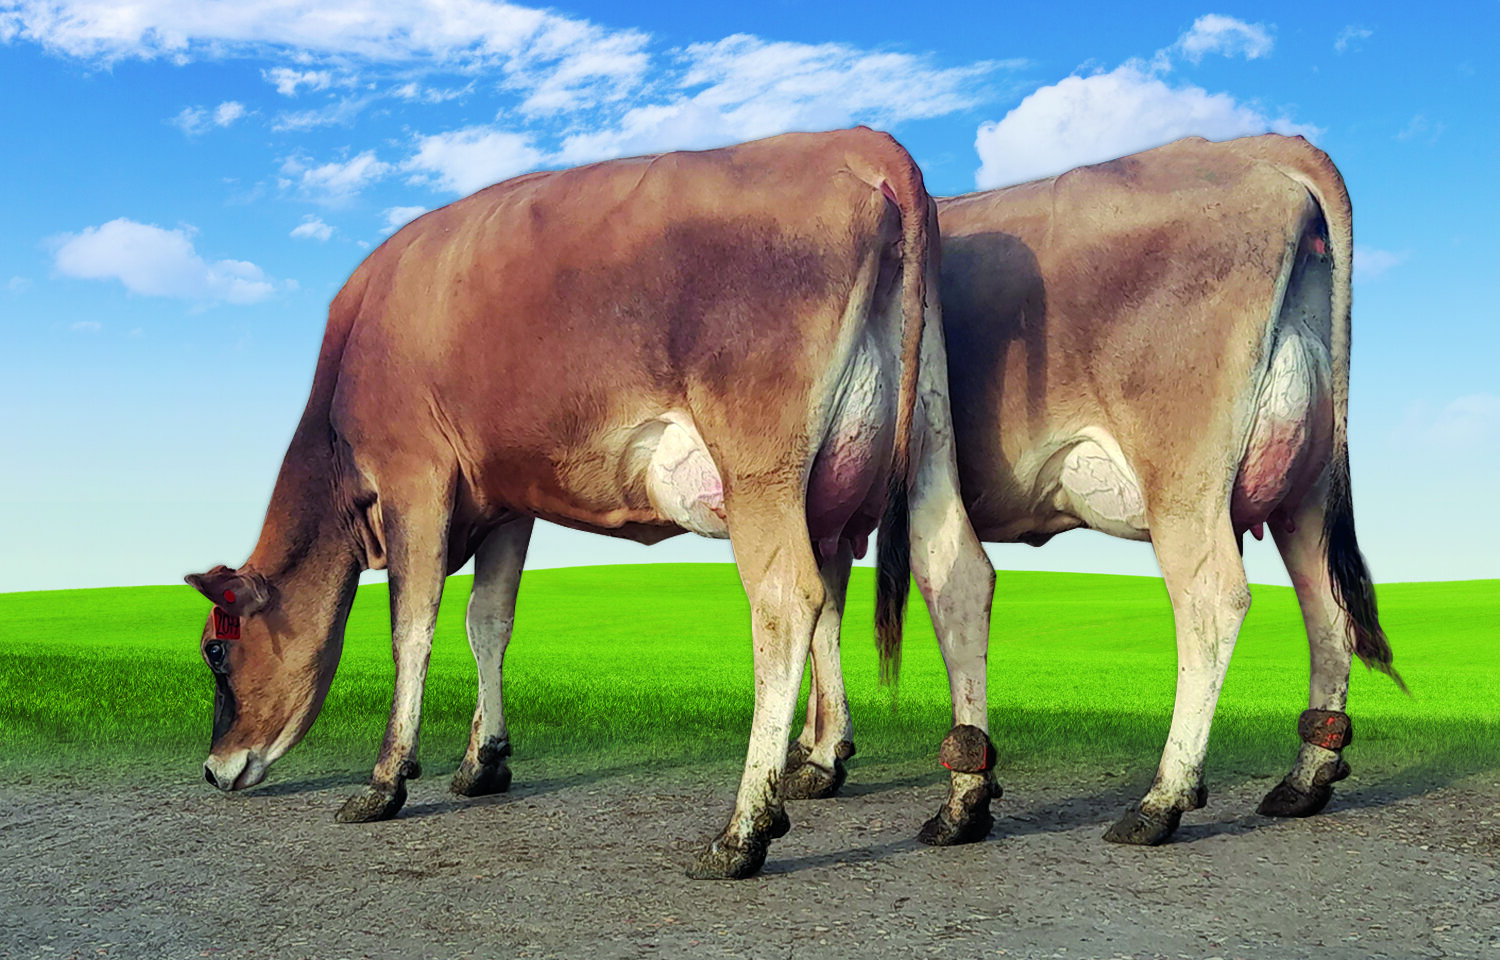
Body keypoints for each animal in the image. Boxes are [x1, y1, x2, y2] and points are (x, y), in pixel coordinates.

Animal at [185, 127, 997, 880]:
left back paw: (743, 831)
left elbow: (410, 629)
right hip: (926, 436)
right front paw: (484, 759)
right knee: (954, 572)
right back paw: (959, 802)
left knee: (788, 597)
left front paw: (386, 780)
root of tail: (861, 142)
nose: (213, 770)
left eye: (217, 651)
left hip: (761, 463)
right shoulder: (505, 496)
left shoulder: (414, 475)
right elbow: (489, 621)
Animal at [783, 134, 1401, 845]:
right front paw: (816, 749)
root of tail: (1254, 148)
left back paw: (1161, 799)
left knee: (1213, 601)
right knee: (1327, 608)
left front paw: (820, 754)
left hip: (1183, 480)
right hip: (1304, 487)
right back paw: (1305, 780)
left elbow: (821, 616)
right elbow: (827, 611)